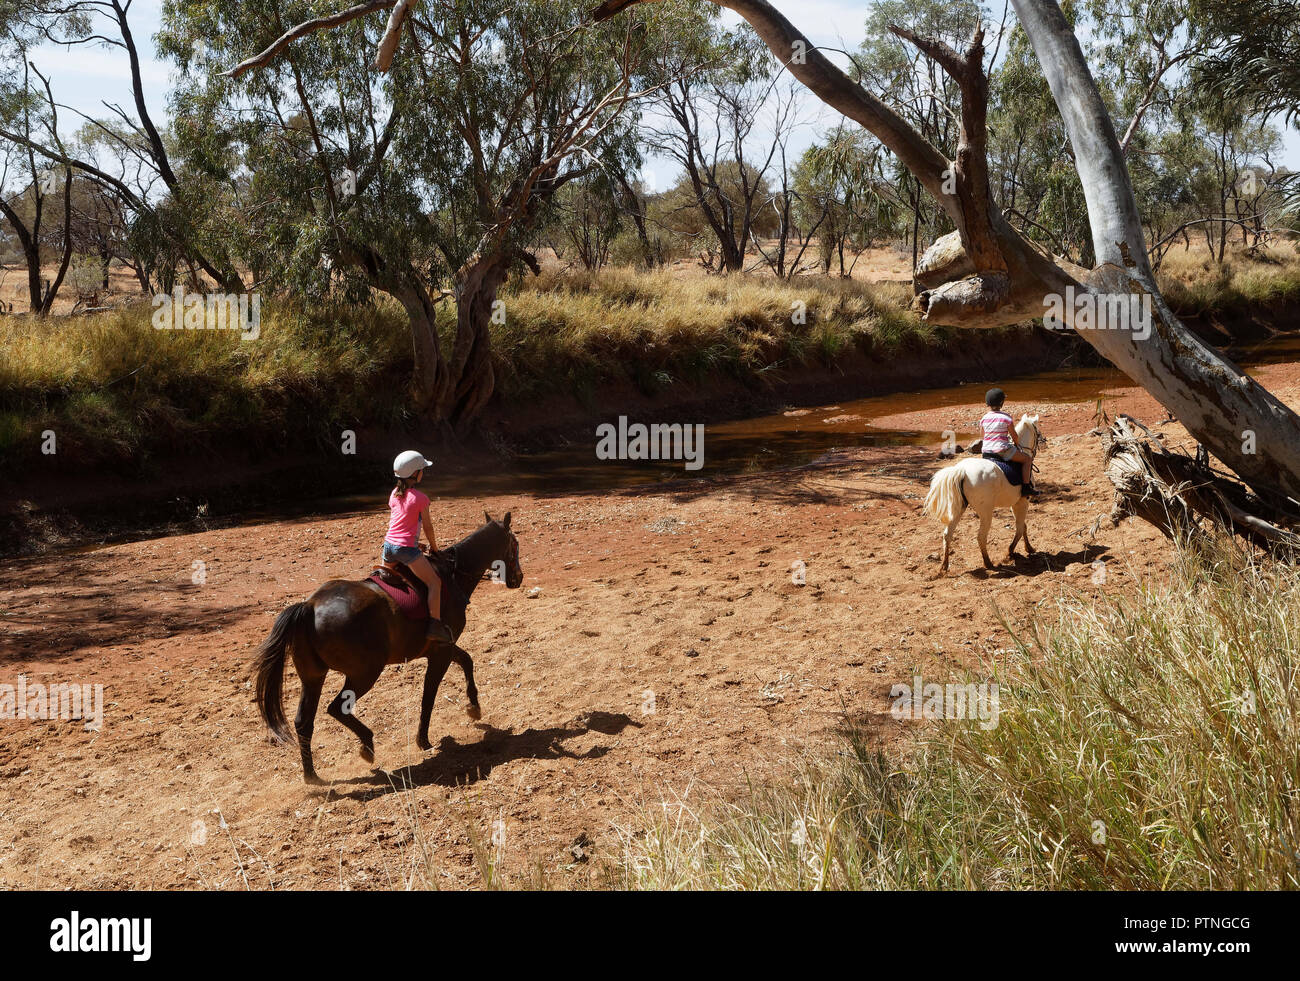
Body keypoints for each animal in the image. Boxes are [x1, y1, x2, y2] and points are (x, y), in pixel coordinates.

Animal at [252, 511, 524, 783]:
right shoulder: (441, 652)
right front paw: (423, 740)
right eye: (515, 544)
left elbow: (467, 660)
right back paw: (367, 745)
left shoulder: (443, 647)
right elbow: (429, 694)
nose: (518, 578)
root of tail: (310, 607)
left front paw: (474, 708)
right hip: (364, 673)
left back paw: (312, 776)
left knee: (303, 722)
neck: (452, 576)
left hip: (313, 677)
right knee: (336, 708)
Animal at [922, 416, 1045, 574]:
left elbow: (1023, 525)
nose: (1043, 440)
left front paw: (1028, 548)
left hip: (958, 509)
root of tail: (961, 470)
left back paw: (944, 566)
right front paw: (1010, 552)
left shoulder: (1015, 503)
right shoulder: (1023, 502)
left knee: (947, 534)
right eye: (1037, 431)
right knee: (981, 536)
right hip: (986, 512)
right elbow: (1019, 528)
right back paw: (988, 563)